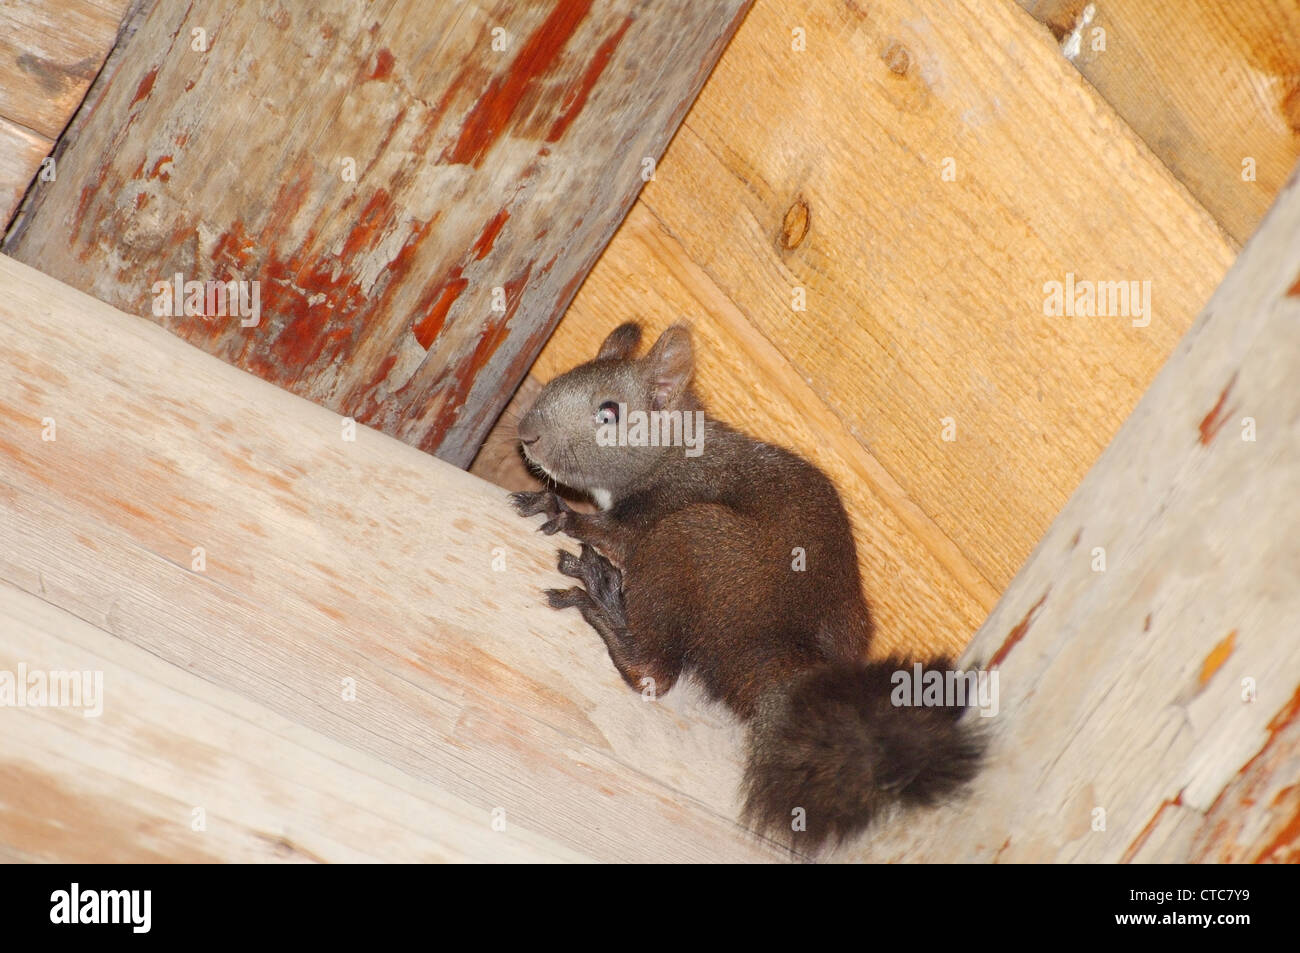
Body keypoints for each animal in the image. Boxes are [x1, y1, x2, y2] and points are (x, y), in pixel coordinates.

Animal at [510, 321, 984, 852]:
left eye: (609, 412)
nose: (526, 434)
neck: (674, 451)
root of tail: (771, 641)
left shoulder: (664, 507)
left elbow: (610, 534)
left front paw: (560, 510)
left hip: (690, 539)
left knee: (655, 671)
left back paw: (605, 603)